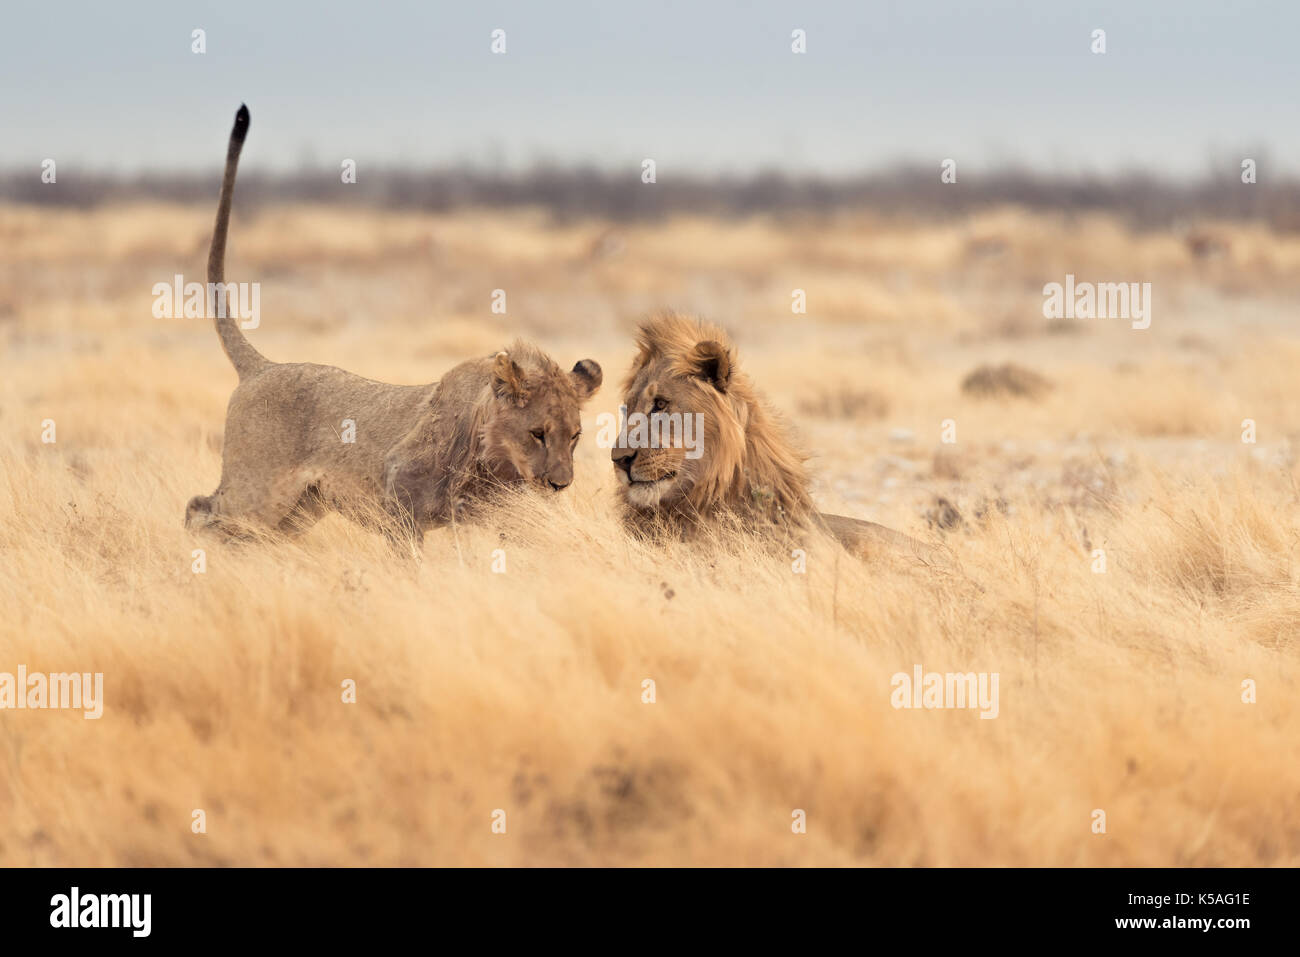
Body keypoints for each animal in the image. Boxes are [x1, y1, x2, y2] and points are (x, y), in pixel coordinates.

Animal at [185, 105, 602, 546]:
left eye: (574, 436)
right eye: (537, 433)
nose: (560, 485)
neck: (493, 464)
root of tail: (261, 368)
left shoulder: (511, 517)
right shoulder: (401, 500)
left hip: (297, 510)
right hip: (257, 494)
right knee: (198, 509)